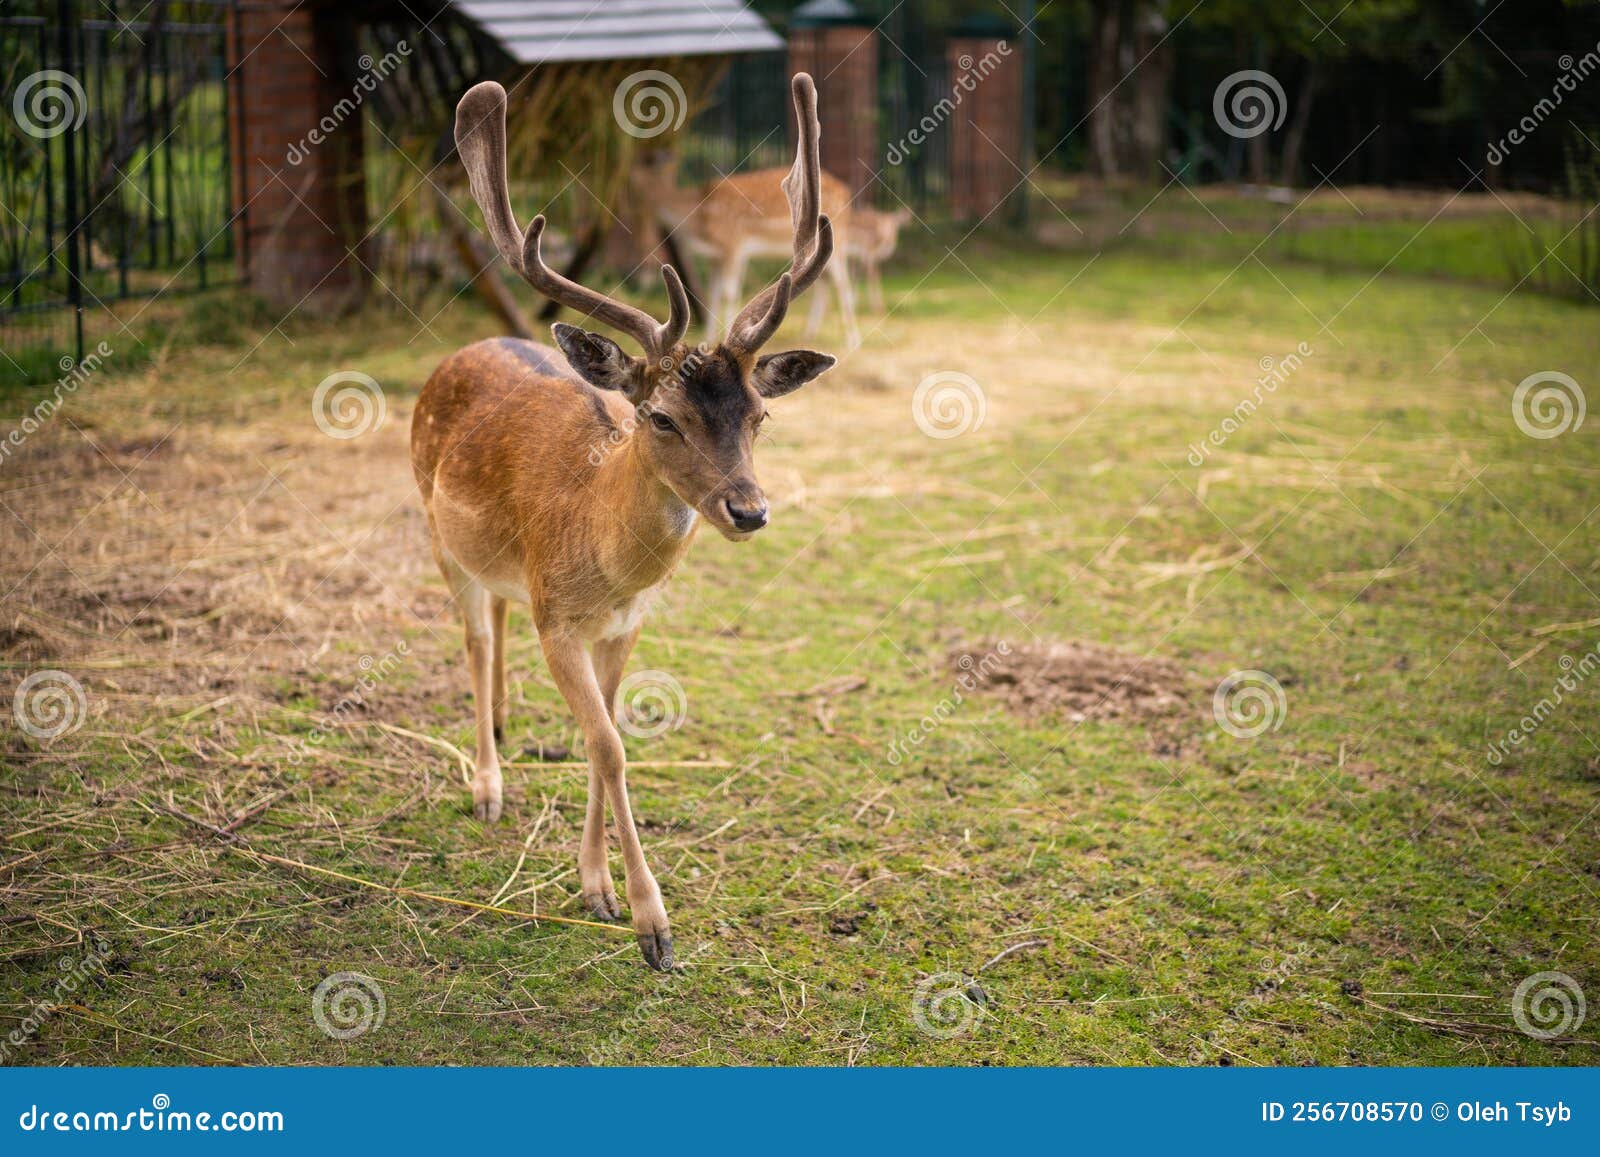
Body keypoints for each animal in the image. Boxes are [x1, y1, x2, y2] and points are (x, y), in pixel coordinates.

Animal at [410, 75, 838, 972]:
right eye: (663, 417)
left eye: (758, 416)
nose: (750, 509)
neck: (603, 561)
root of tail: (467, 347)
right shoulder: (558, 618)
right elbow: (609, 743)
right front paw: (651, 925)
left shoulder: (626, 624)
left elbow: (601, 739)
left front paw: (596, 886)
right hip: (437, 536)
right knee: (474, 635)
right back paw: (487, 783)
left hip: (497, 566)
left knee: (495, 616)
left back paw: (503, 725)